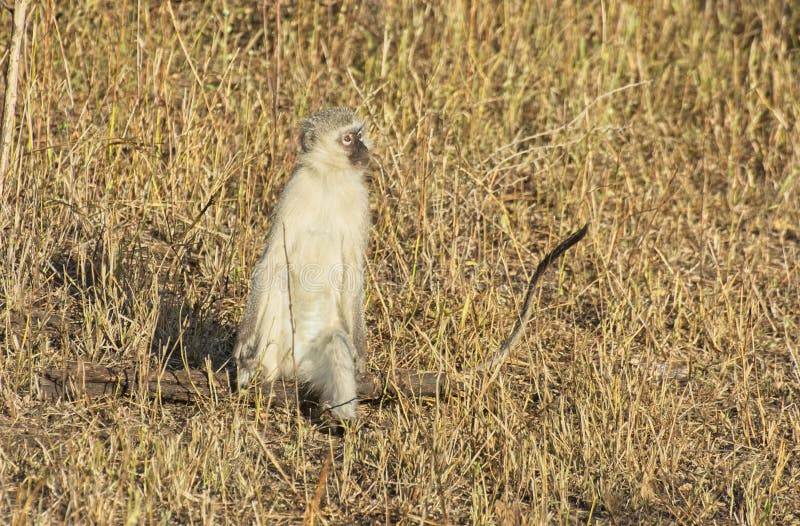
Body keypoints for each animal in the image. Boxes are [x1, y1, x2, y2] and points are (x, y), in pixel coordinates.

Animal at [234, 107, 371, 421]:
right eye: (348, 139)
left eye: (359, 135)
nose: (365, 150)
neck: (329, 180)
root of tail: (293, 367)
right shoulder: (294, 189)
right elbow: (271, 260)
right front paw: (245, 339)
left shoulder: (360, 202)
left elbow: (353, 272)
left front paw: (359, 351)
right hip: (278, 348)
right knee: (276, 287)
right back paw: (254, 374)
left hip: (316, 360)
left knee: (336, 345)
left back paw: (341, 418)